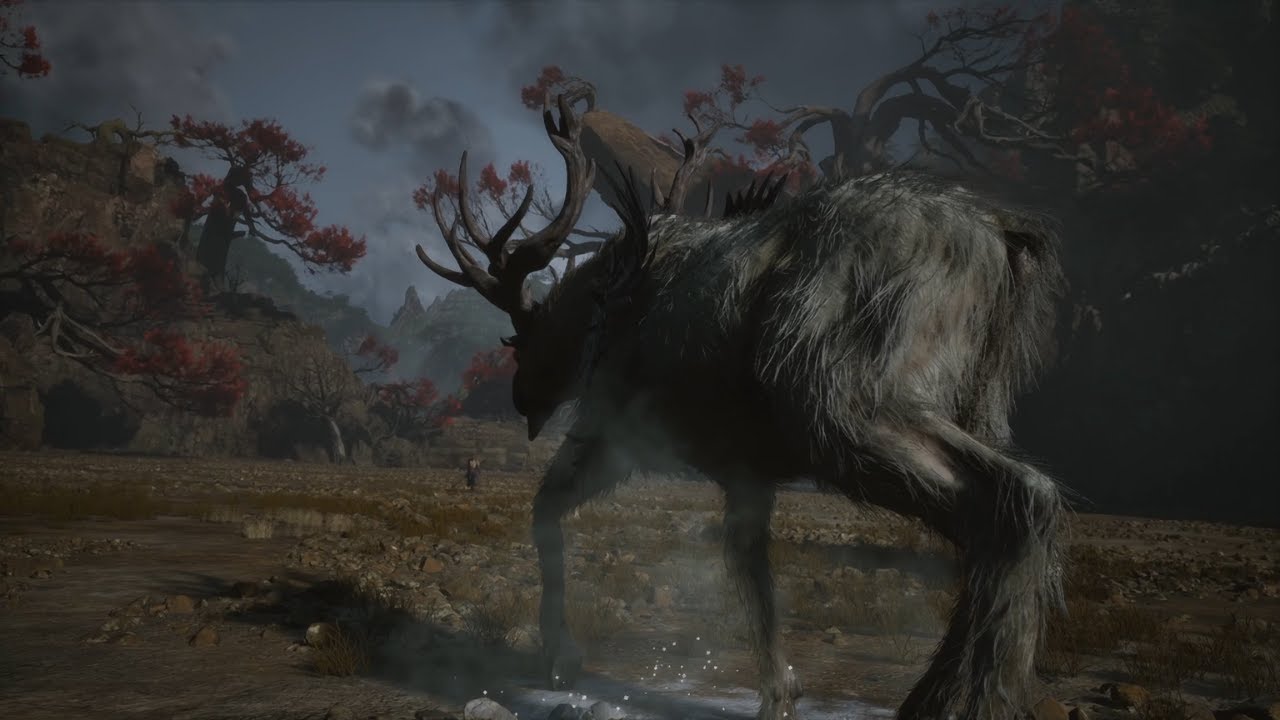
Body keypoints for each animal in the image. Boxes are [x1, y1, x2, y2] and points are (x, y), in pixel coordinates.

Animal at [413, 93, 1067, 720]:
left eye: (521, 338)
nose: (521, 400)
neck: (609, 294)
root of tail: (1001, 234)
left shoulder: (619, 431)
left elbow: (546, 510)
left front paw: (559, 658)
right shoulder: (746, 472)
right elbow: (753, 573)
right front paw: (781, 692)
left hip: (841, 406)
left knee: (1020, 496)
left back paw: (962, 701)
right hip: (978, 407)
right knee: (1000, 525)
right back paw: (952, 696)